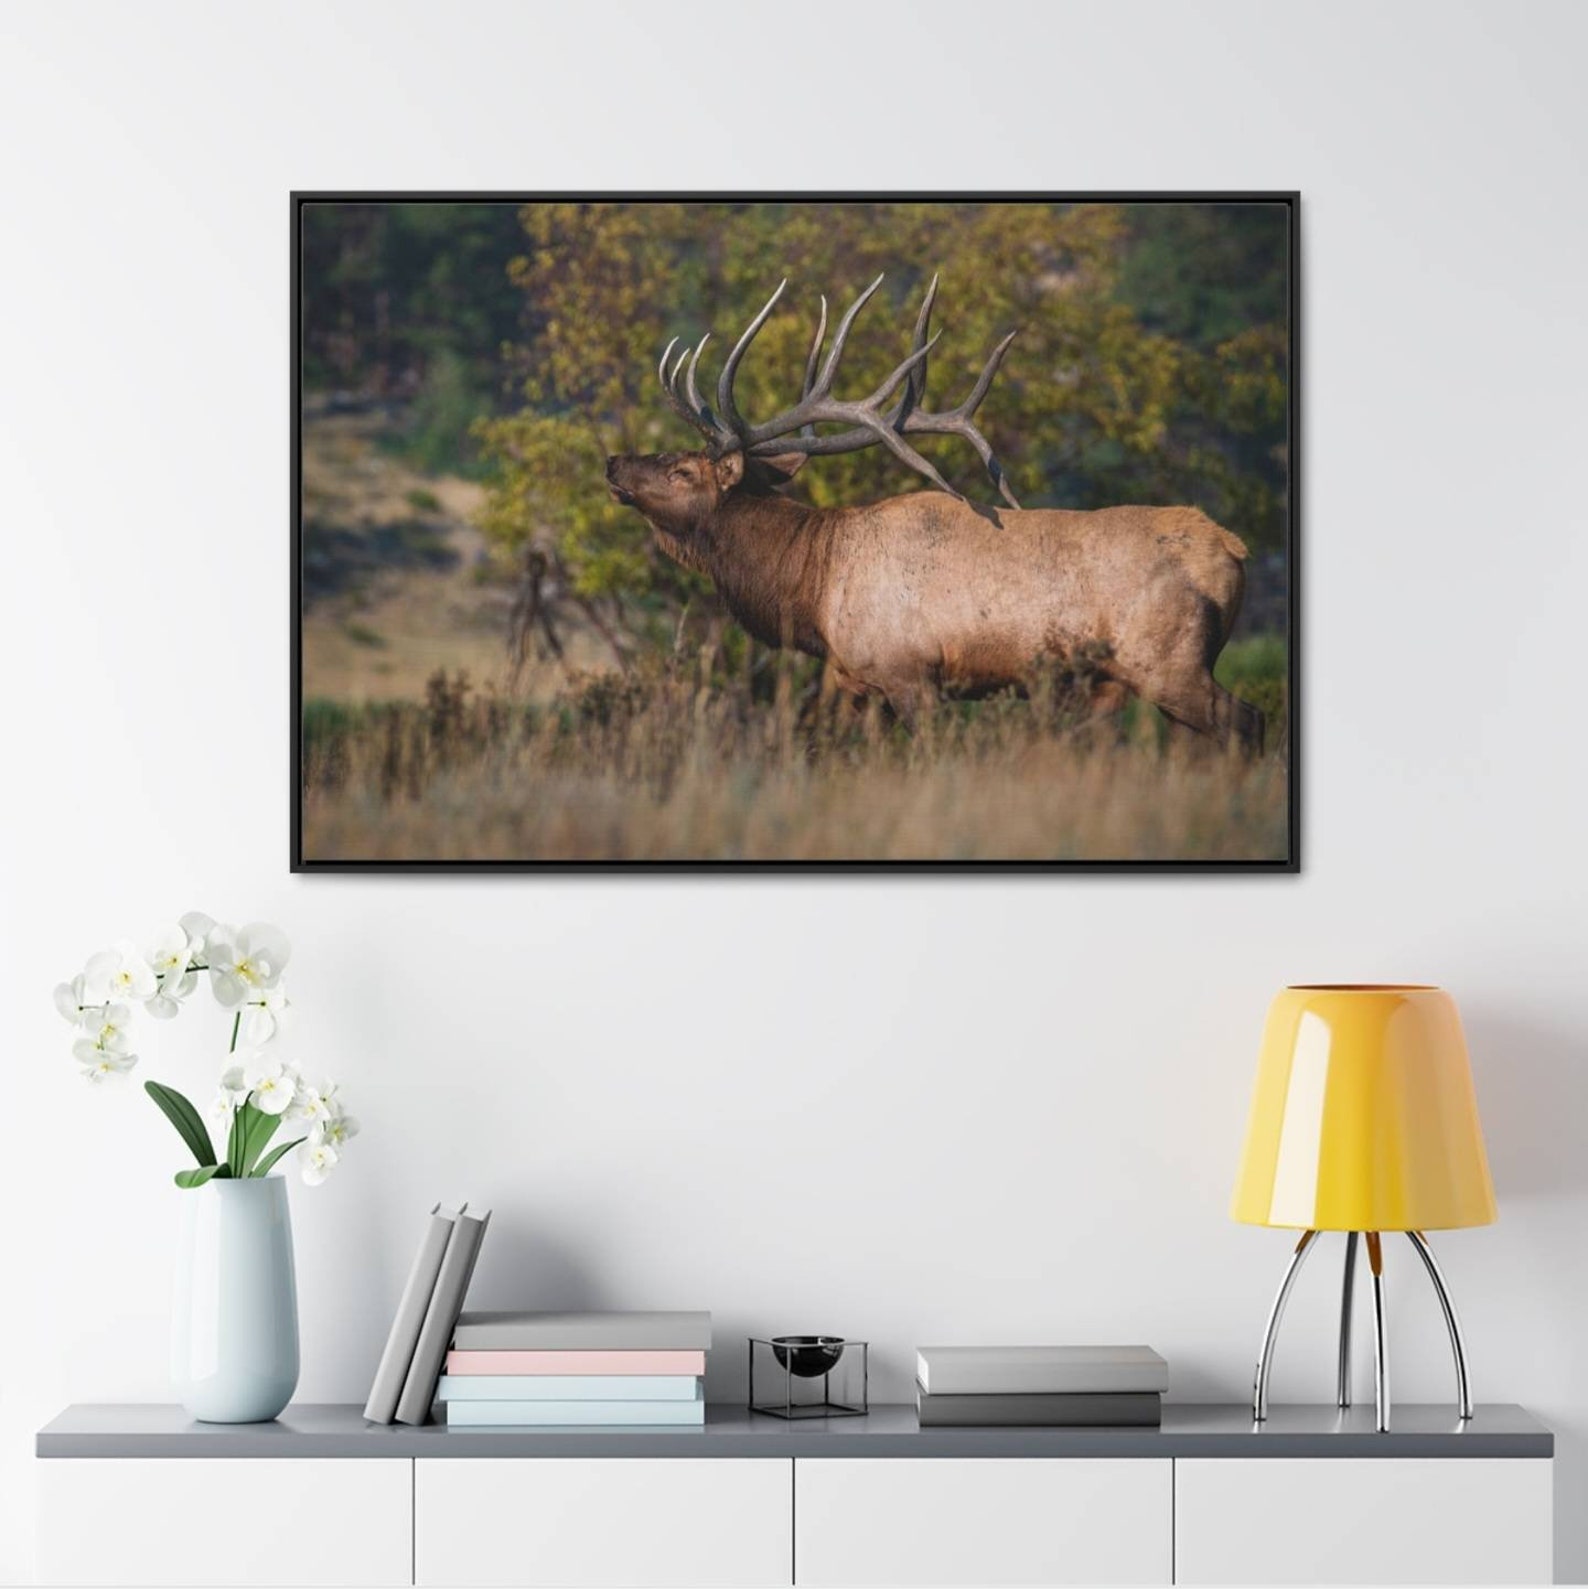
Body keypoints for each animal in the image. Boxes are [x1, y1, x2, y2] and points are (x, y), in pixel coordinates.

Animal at [604, 274, 1263, 752]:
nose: (613, 463)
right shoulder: (860, 686)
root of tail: (1233, 548)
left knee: (1248, 722)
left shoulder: (911, 674)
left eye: (683, 470)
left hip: (1167, 661)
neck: (811, 588)